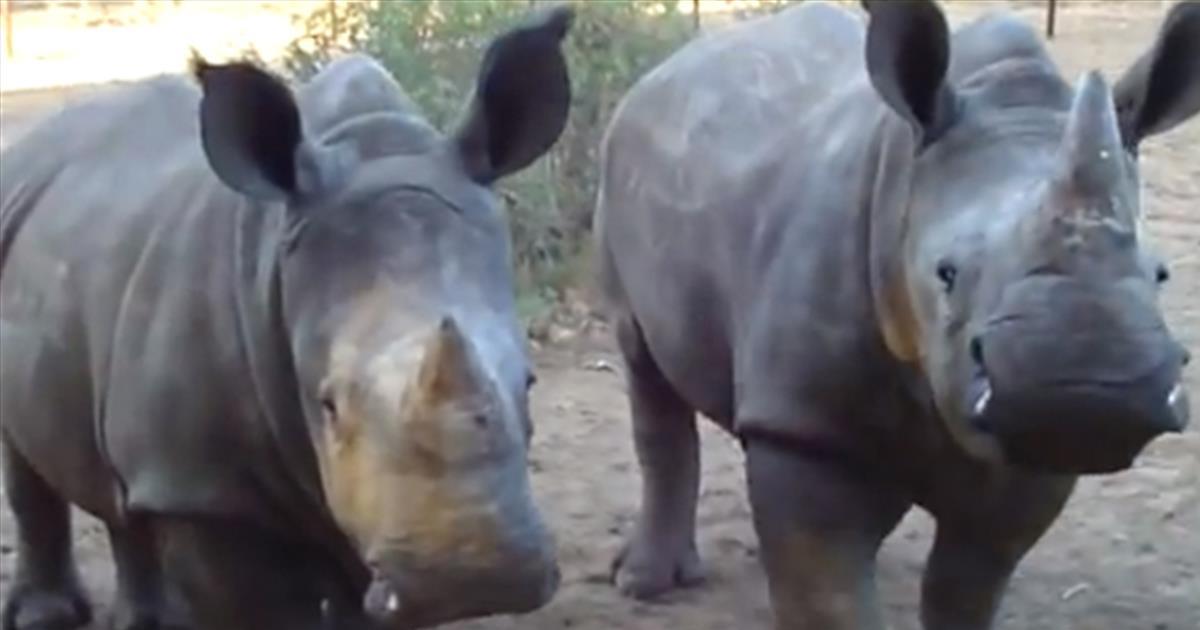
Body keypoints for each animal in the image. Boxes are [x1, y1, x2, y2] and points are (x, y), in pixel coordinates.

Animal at [0, 6, 574, 630]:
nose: (473, 580)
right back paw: (46, 616)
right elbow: (257, 602)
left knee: (122, 485)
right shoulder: (203, 487)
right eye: (328, 404)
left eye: (529, 383)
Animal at [595, 0, 1196, 628]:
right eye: (945, 273)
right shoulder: (807, 431)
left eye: (1161, 274)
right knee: (644, 363)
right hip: (619, 169)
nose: (1090, 391)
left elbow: (966, 587)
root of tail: (668, 68)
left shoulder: (1032, 450)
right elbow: (830, 593)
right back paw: (644, 584)